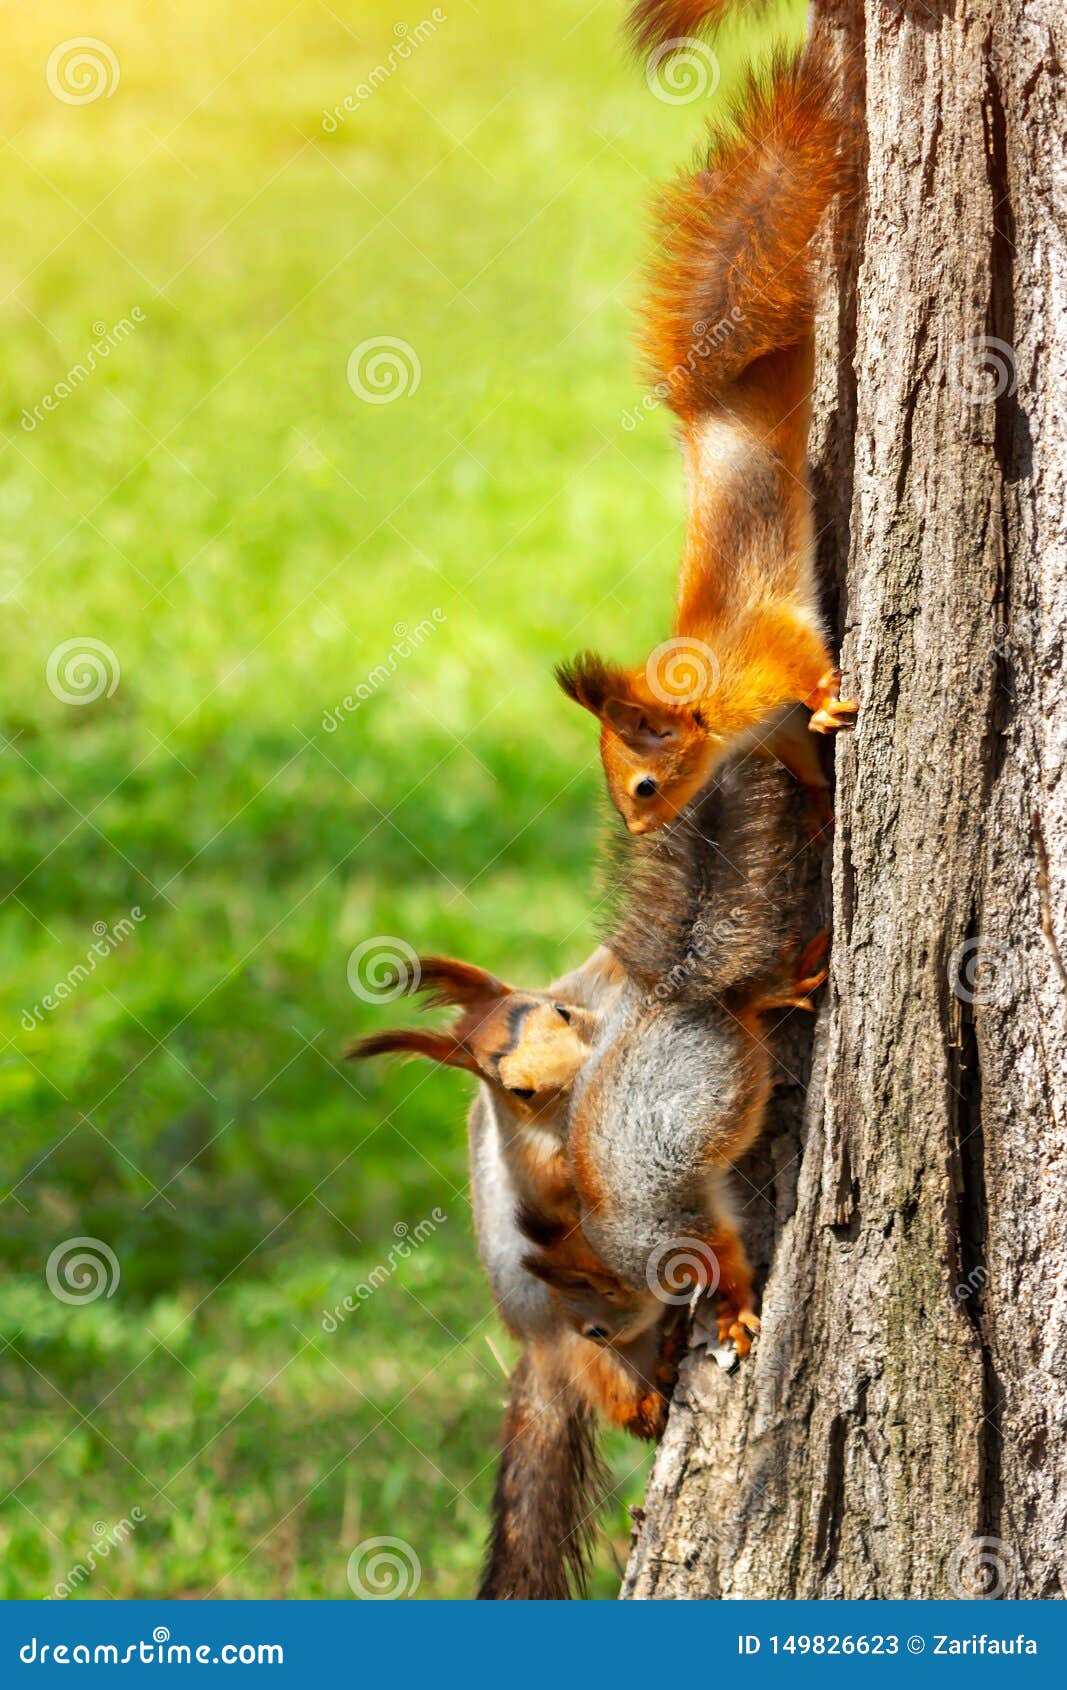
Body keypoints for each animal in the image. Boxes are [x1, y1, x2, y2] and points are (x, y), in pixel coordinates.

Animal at [557, 8, 856, 837]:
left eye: (642, 786)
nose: (641, 831)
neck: (712, 701)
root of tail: (713, 404)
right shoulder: (772, 727)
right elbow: (800, 757)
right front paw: (819, 805)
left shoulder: (768, 653)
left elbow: (805, 663)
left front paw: (831, 701)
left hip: (788, 367)